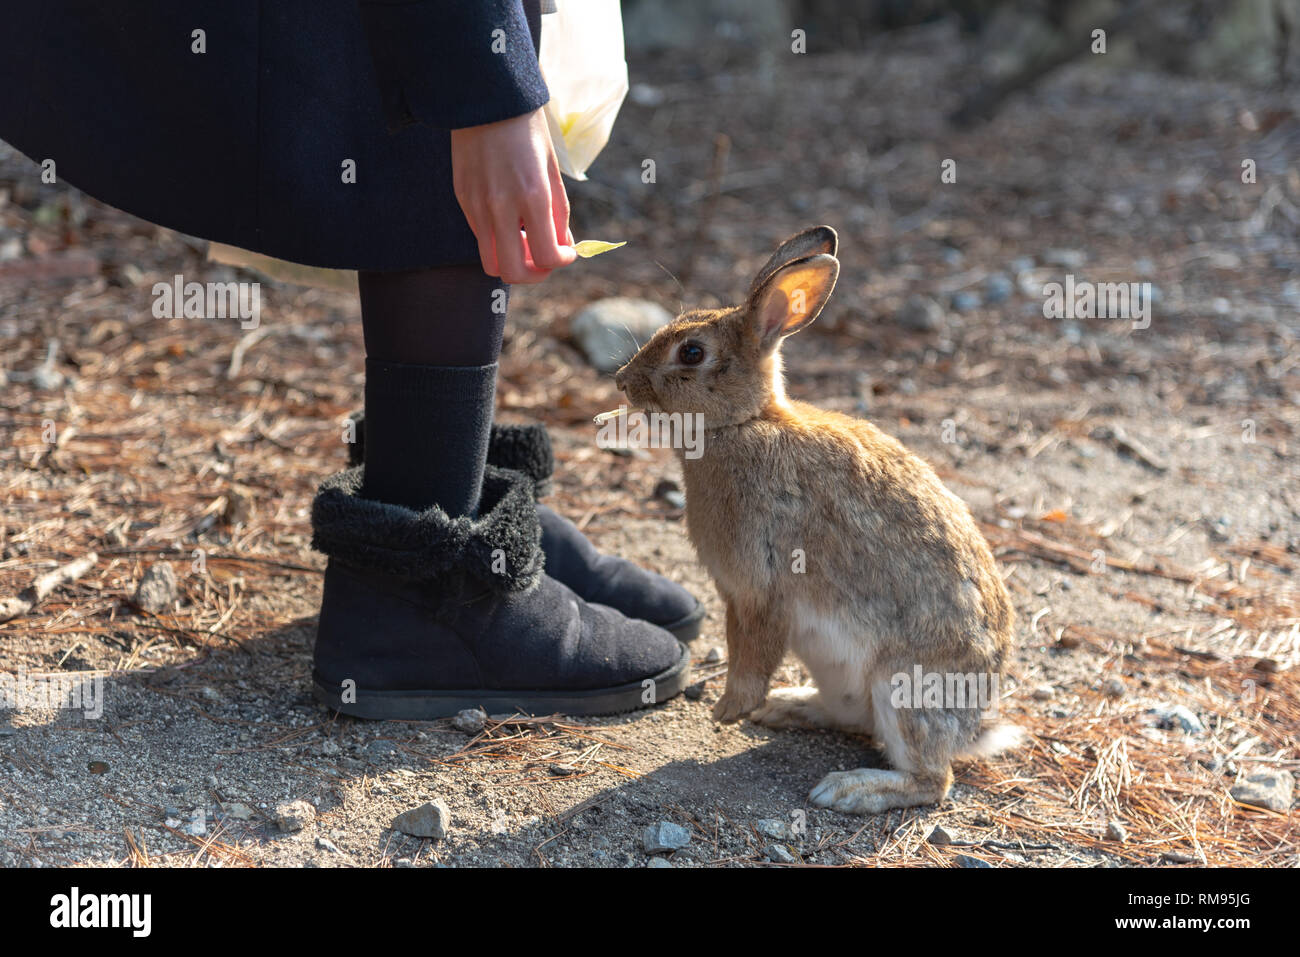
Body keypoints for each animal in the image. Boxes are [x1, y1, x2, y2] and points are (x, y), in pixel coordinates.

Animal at [613, 225, 1020, 814]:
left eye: (691, 352)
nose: (622, 381)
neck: (742, 424)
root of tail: (973, 727)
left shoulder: (759, 587)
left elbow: (751, 651)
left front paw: (728, 709)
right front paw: (742, 709)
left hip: (903, 684)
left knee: (931, 779)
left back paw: (849, 788)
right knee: (852, 717)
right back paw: (788, 707)